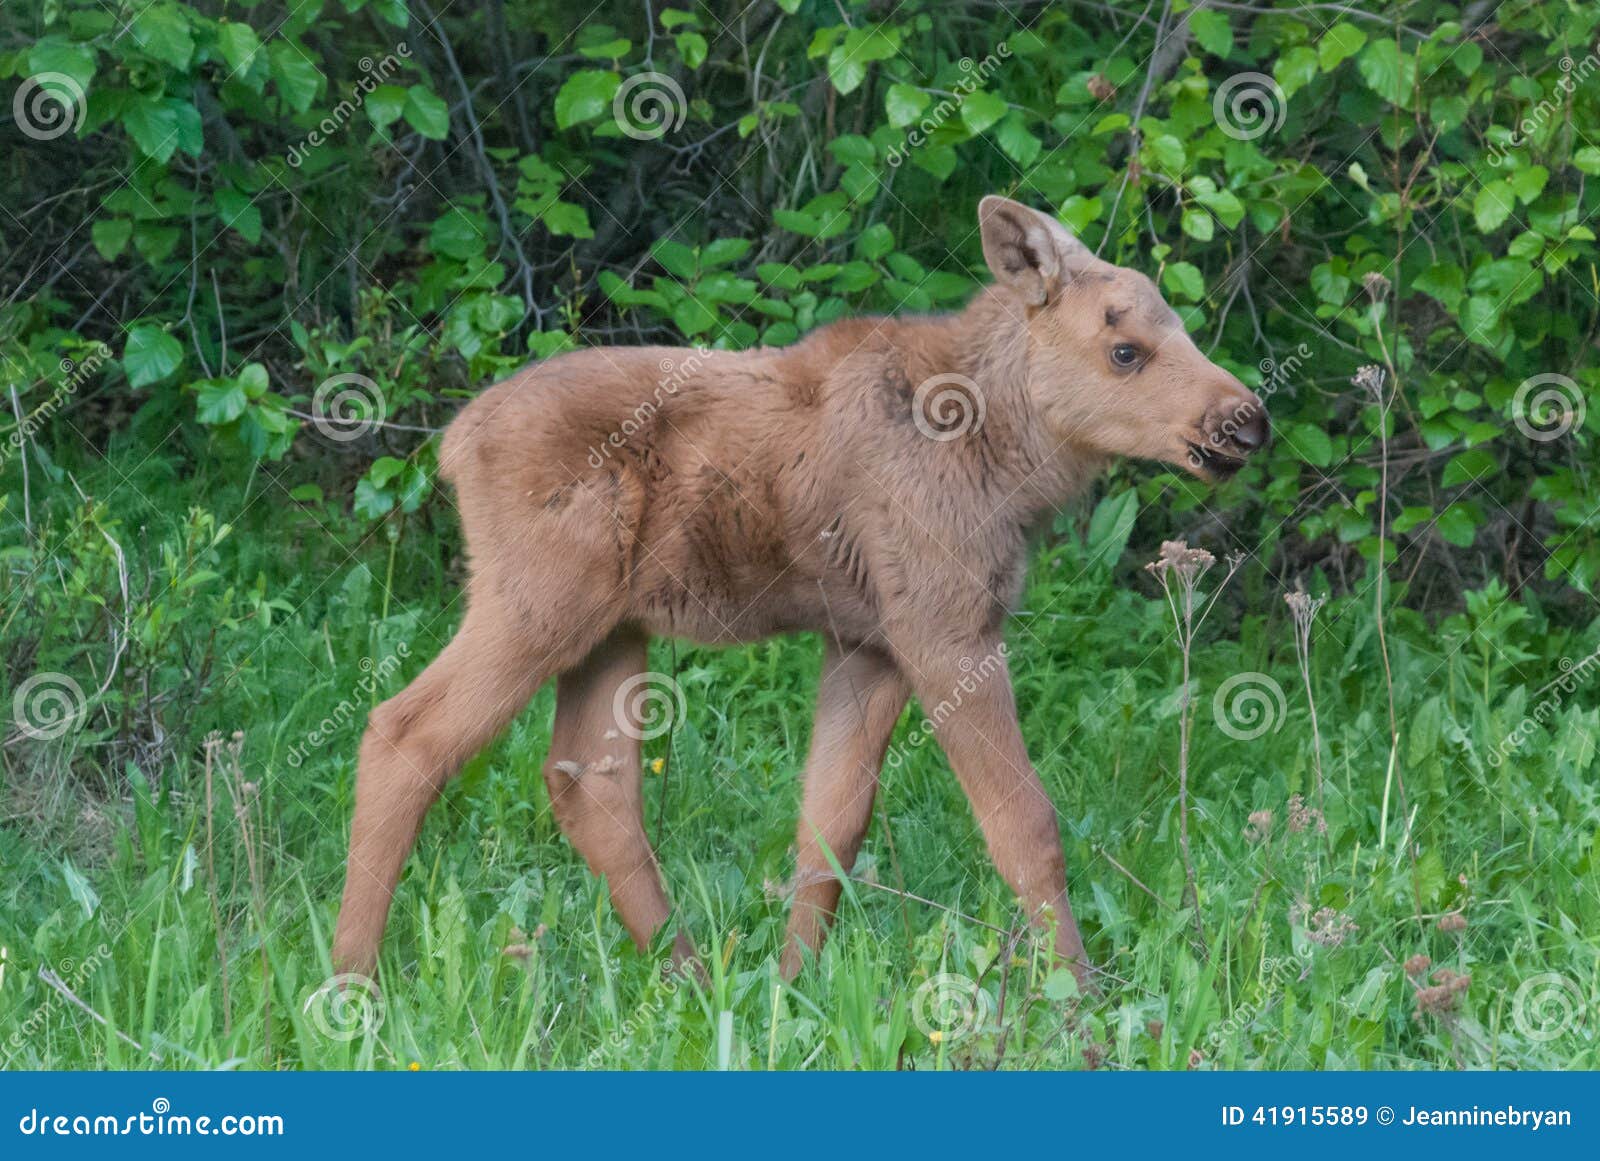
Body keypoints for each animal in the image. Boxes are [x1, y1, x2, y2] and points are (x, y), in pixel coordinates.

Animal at [329, 195, 1269, 992]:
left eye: (1180, 328)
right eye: (1125, 350)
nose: (1246, 420)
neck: (1012, 461)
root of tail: (453, 443)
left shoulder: (868, 641)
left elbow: (830, 824)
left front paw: (792, 988)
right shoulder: (945, 627)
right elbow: (1024, 825)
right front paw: (1081, 998)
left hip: (611, 627)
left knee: (592, 784)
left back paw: (689, 977)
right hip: (535, 599)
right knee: (405, 734)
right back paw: (351, 984)